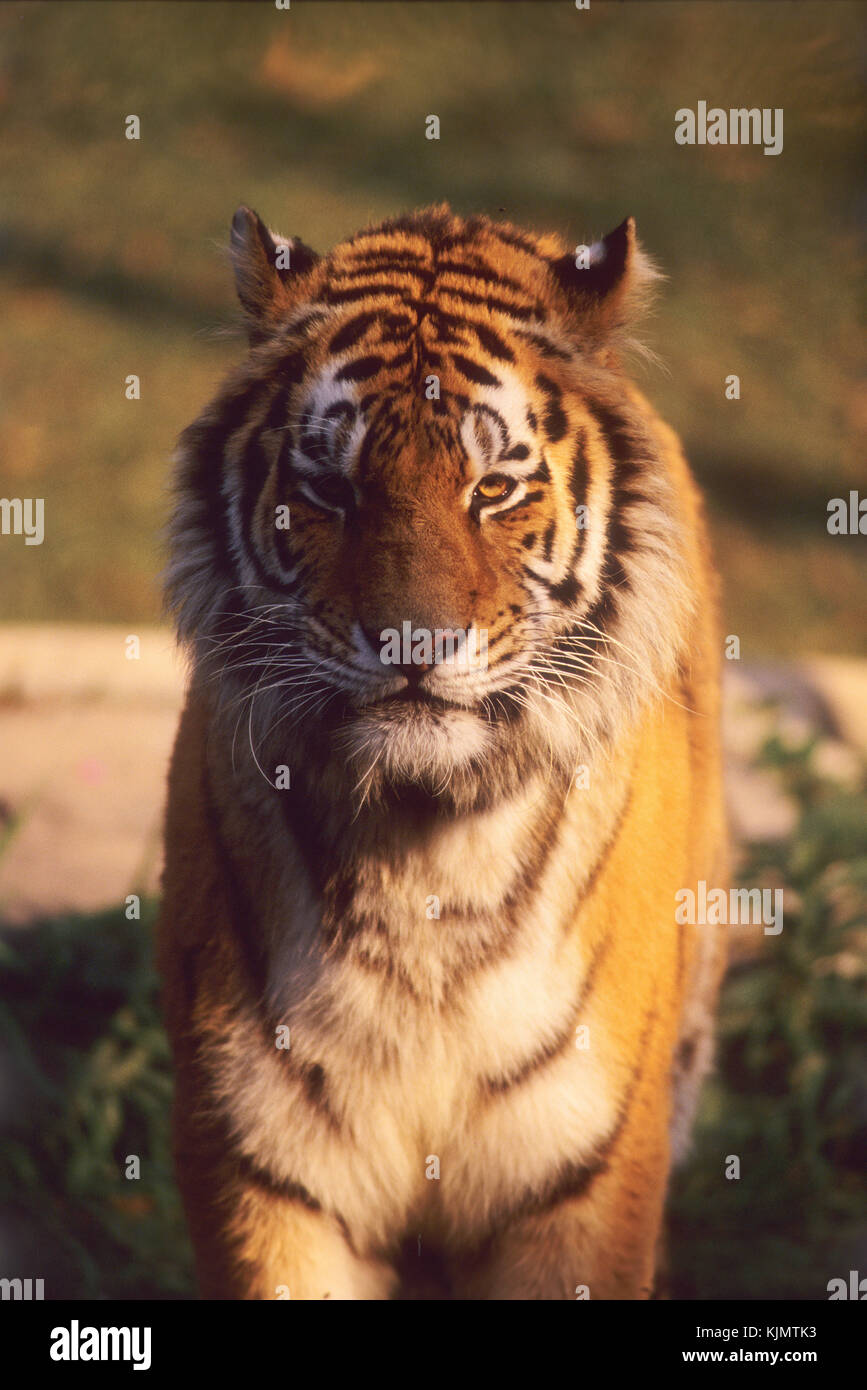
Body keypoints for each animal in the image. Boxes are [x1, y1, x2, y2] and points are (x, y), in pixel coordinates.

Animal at [157, 202, 728, 1300]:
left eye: (494, 487)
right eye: (329, 487)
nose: (413, 646)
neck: (421, 851)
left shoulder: (585, 1185)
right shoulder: (260, 1169)